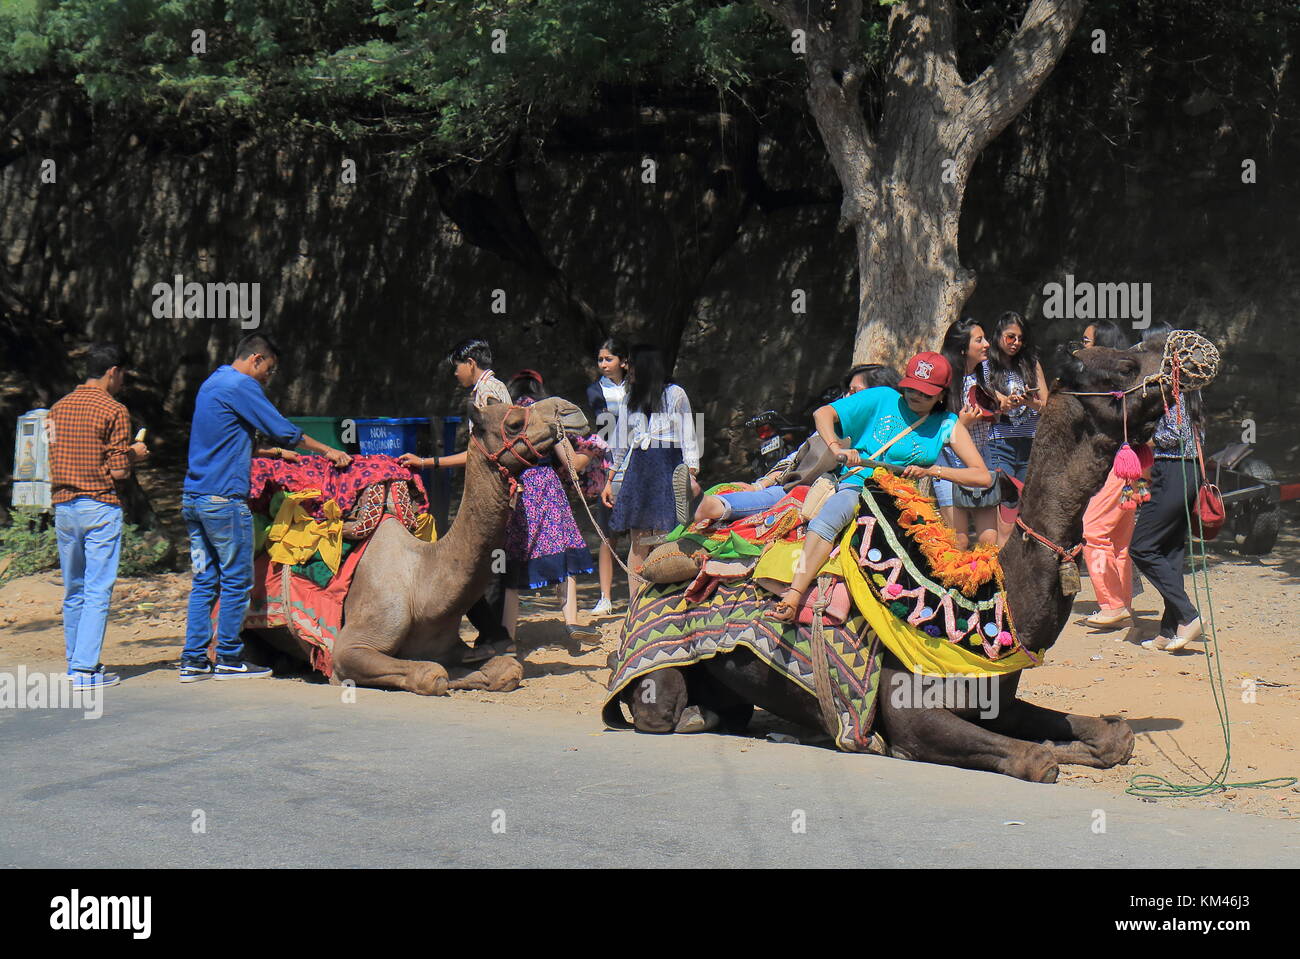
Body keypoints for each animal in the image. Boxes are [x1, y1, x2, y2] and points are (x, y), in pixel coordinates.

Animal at [252, 397, 589, 695]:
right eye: (515, 422)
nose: (570, 410)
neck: (421, 586)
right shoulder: (350, 648)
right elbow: (432, 675)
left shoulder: (447, 646)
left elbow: (506, 669)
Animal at [617, 340, 1200, 782]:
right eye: (1123, 364)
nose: (1178, 354)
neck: (992, 594)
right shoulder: (908, 708)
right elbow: (1035, 759)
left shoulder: (999, 699)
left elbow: (1114, 737)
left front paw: (1091, 743)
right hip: (657, 668)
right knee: (661, 711)